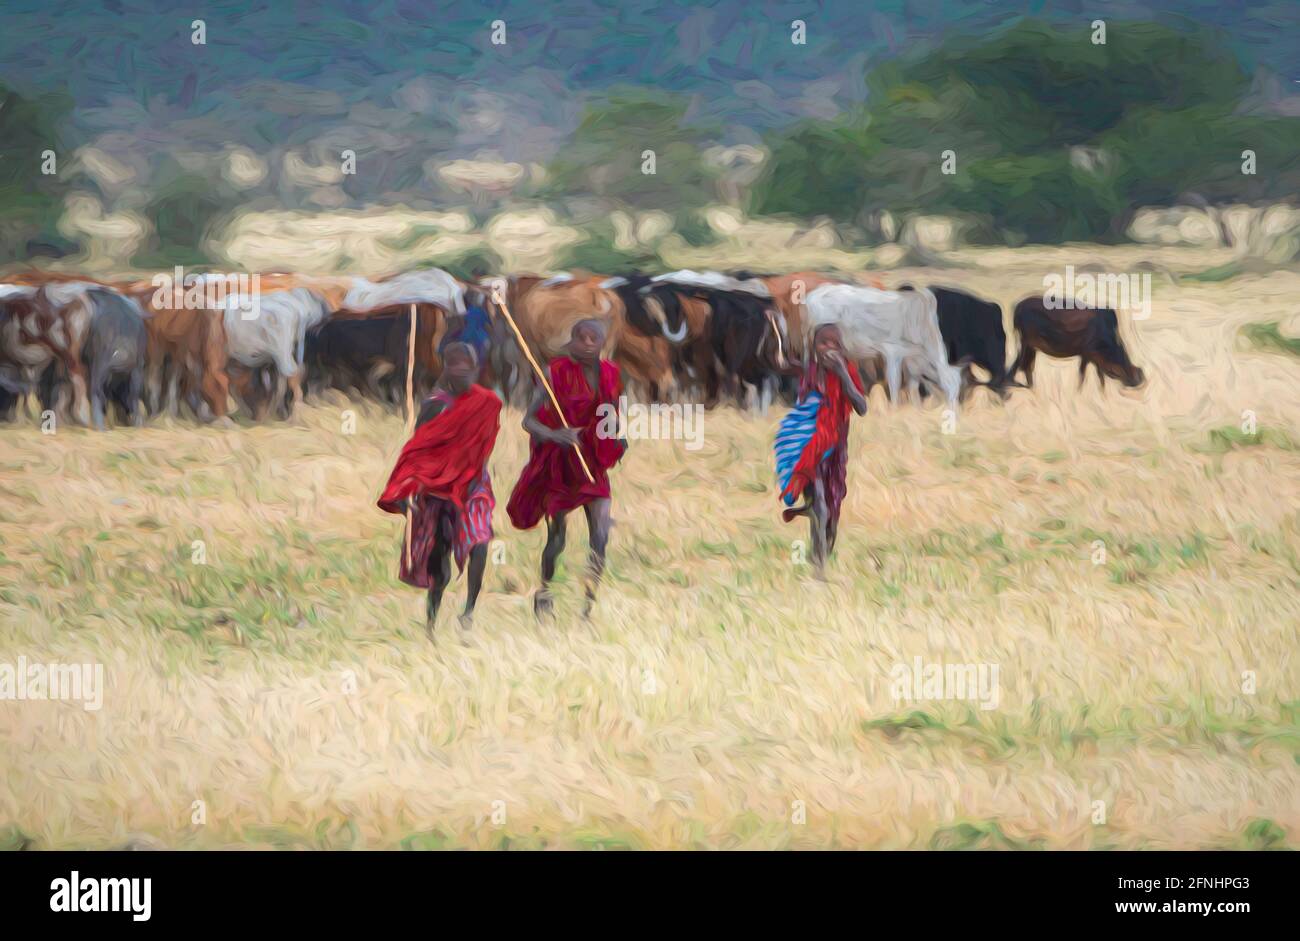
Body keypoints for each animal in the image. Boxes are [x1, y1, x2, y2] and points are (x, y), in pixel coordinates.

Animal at [804, 283, 963, 408]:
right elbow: (894, 384)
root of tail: (814, 293)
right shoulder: (892, 352)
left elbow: (913, 388)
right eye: (948, 391)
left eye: (958, 392)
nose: (955, 418)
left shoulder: (911, 361)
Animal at [1010, 297, 1146, 390]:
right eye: (1127, 368)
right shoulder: (1087, 352)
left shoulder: (1092, 357)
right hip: (1027, 342)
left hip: (1031, 346)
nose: (1136, 382)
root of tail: (1018, 308)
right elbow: (1083, 374)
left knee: (1026, 365)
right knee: (1023, 364)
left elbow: (1099, 376)